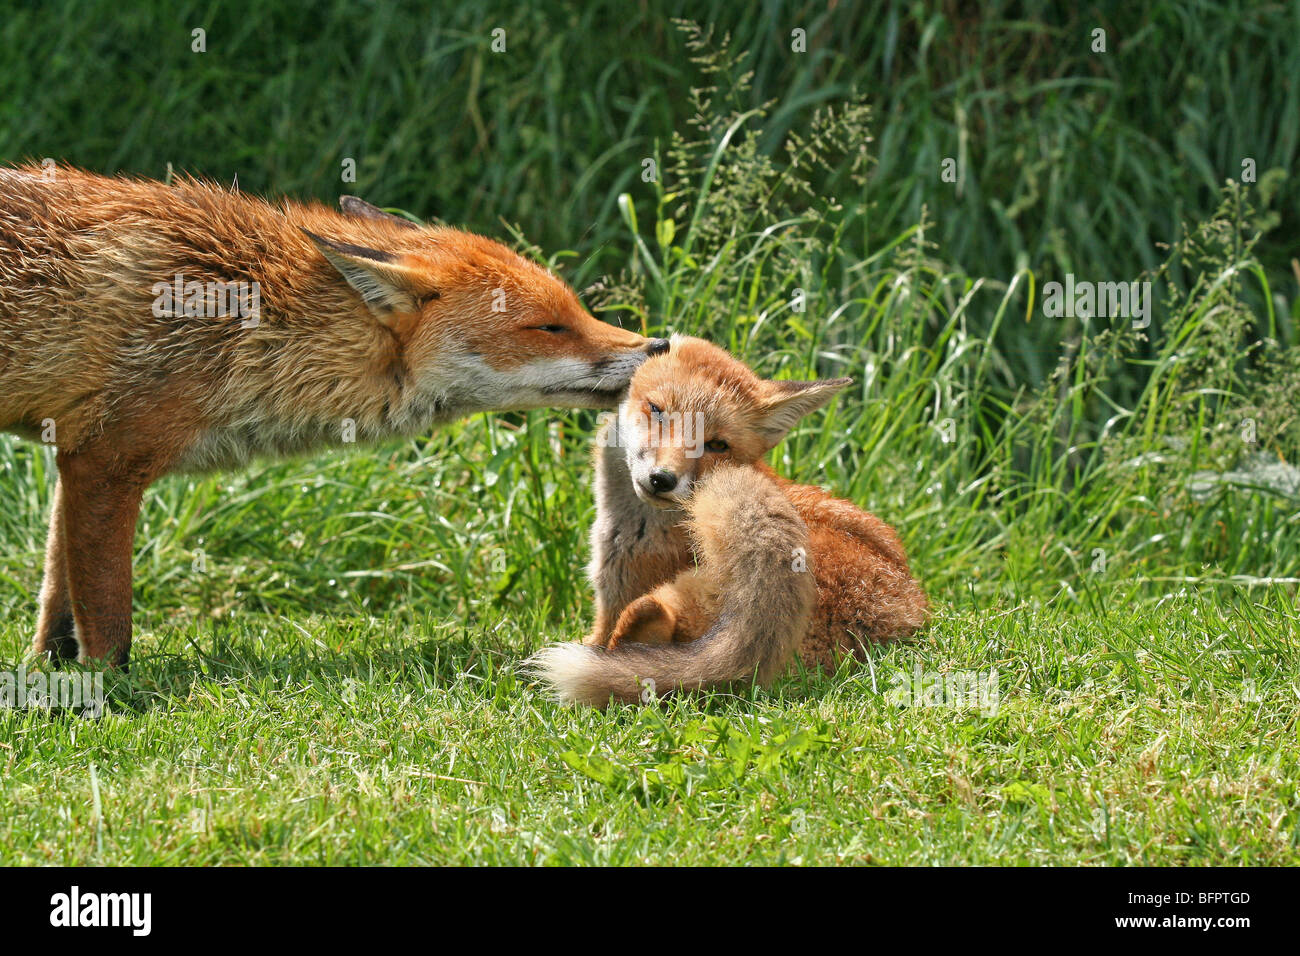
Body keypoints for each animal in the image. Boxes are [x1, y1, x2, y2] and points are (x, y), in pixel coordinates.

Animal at [0, 163, 666, 669]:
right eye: (548, 327)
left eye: (577, 309)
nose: (658, 346)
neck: (241, 320)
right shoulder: (107, 461)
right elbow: (108, 617)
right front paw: (104, 692)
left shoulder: (77, 456)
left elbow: (59, 598)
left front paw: (49, 668)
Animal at [527, 336, 928, 706]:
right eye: (657, 410)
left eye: (717, 445)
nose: (662, 479)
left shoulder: (615, 596)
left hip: (673, 595)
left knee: (643, 623)